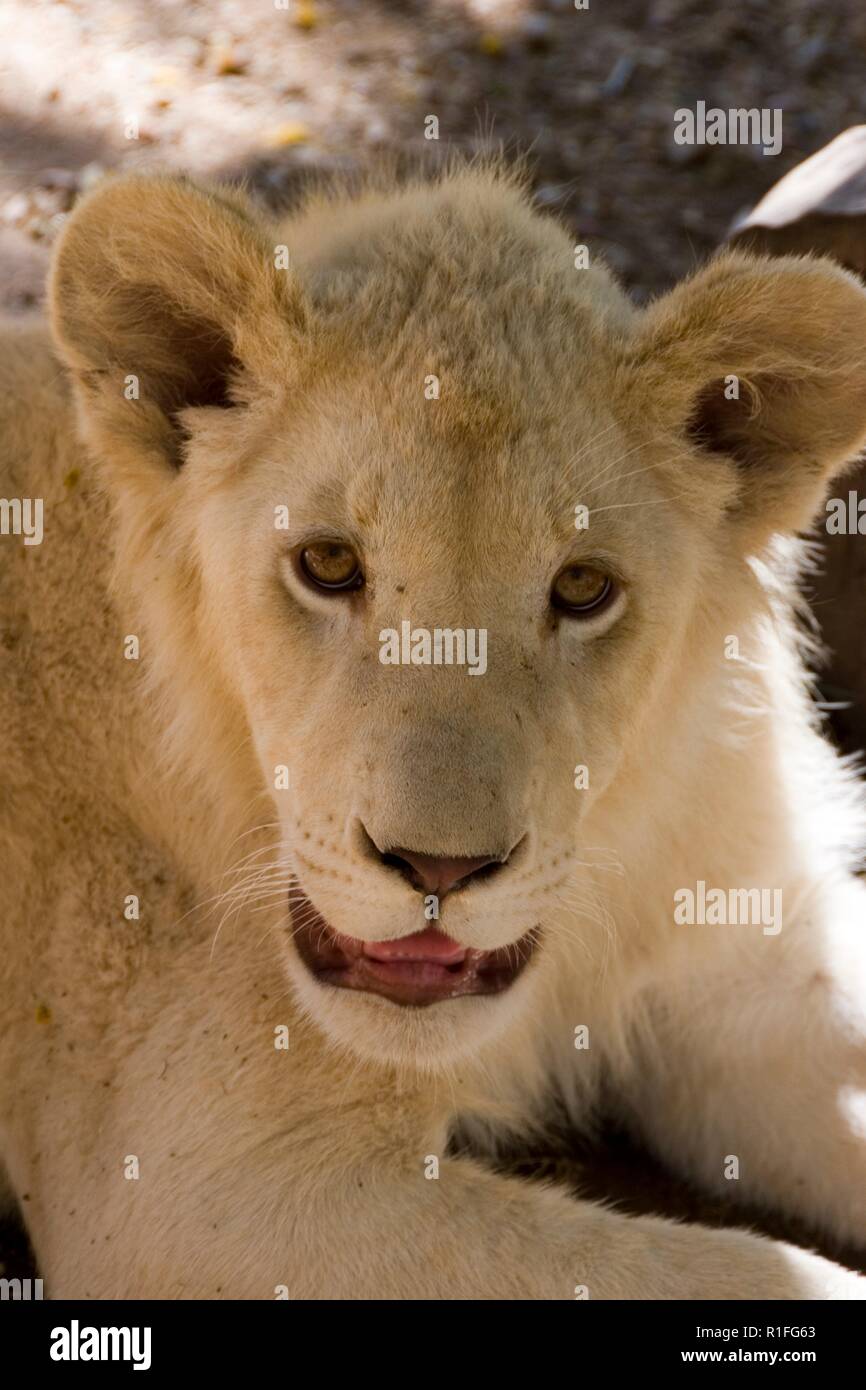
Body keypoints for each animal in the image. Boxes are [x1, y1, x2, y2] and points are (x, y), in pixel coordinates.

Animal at [1, 162, 866, 1299]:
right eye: (328, 564)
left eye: (582, 588)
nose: (439, 870)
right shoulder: (195, 1188)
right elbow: (724, 1269)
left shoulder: (744, 965)